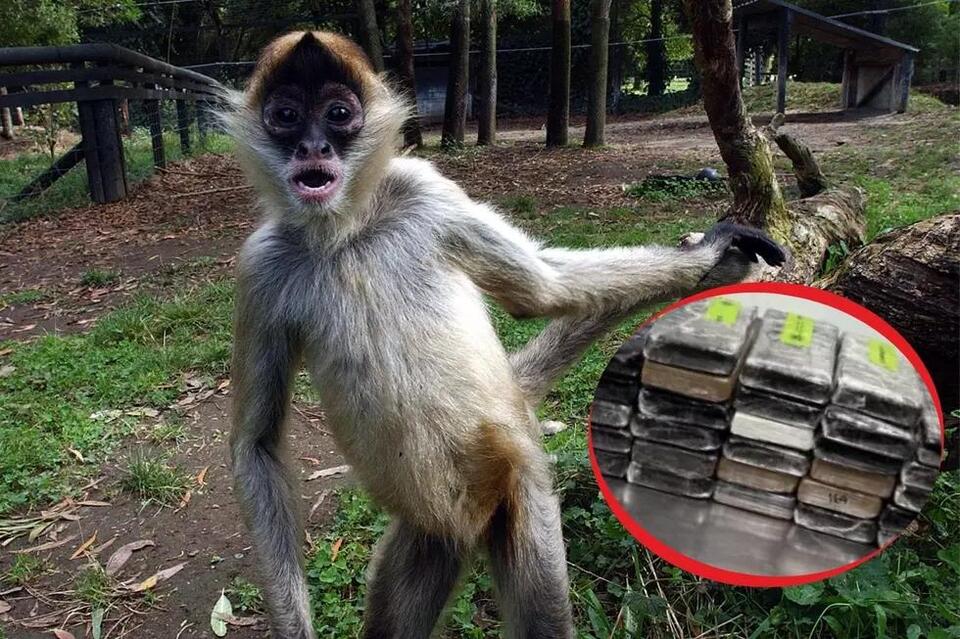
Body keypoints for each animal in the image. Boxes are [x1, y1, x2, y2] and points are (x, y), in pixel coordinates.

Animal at [225, 31, 785, 639]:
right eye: (285, 117)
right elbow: (257, 445)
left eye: (338, 115)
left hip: (519, 487)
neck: (345, 235)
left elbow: (543, 290)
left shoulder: (424, 189)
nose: (313, 149)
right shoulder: (259, 266)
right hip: (426, 533)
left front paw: (713, 253)